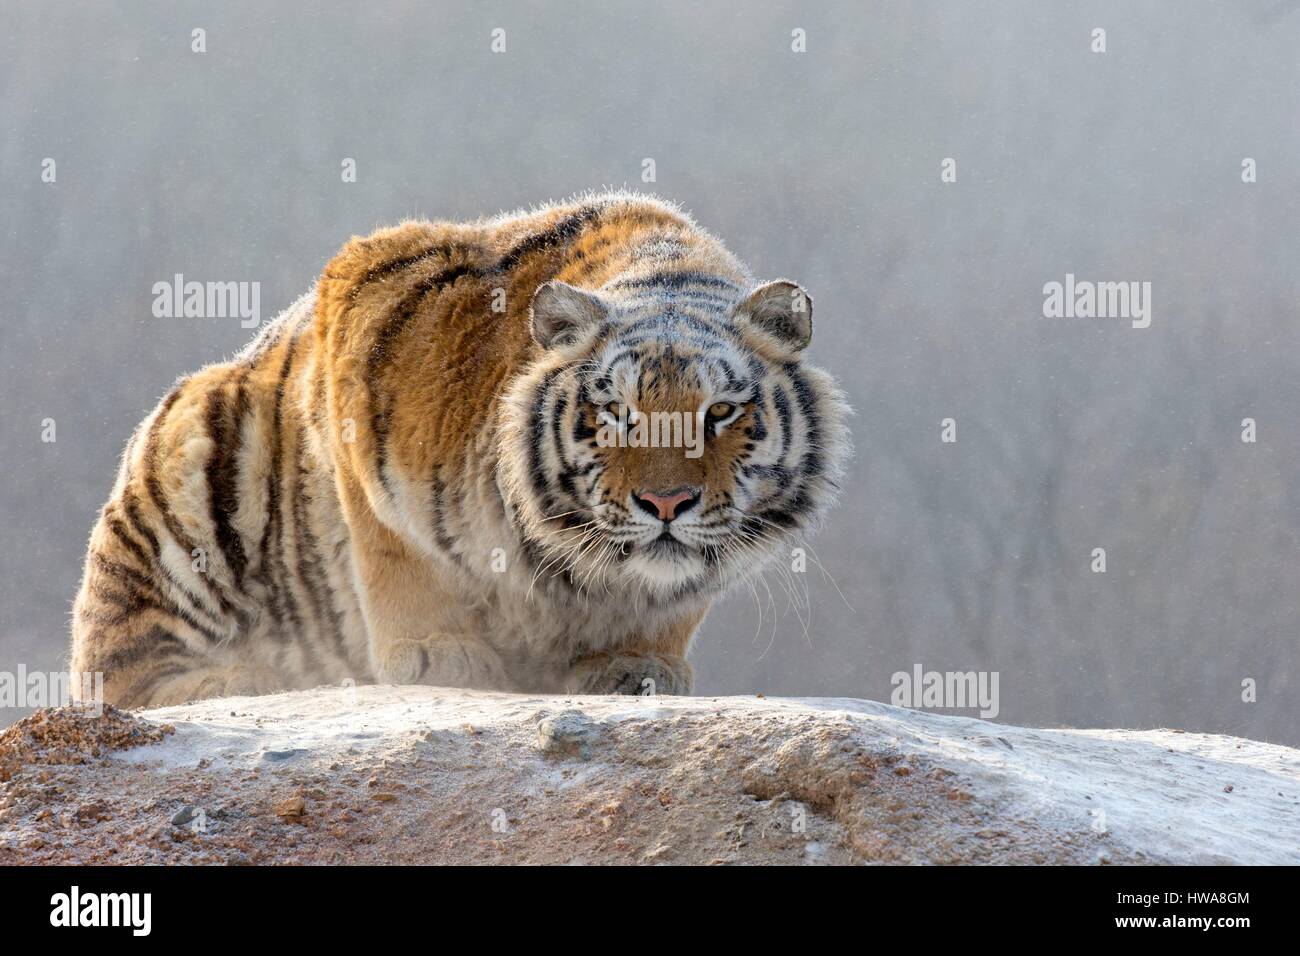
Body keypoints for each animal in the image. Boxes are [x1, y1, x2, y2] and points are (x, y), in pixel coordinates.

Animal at [70, 191, 850, 708]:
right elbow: (399, 553)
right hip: (186, 481)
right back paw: (244, 678)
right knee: (123, 670)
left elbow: (672, 605)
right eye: (616, 413)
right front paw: (433, 656)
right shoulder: (364, 315)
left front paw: (640, 667)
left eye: (720, 412)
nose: (666, 502)